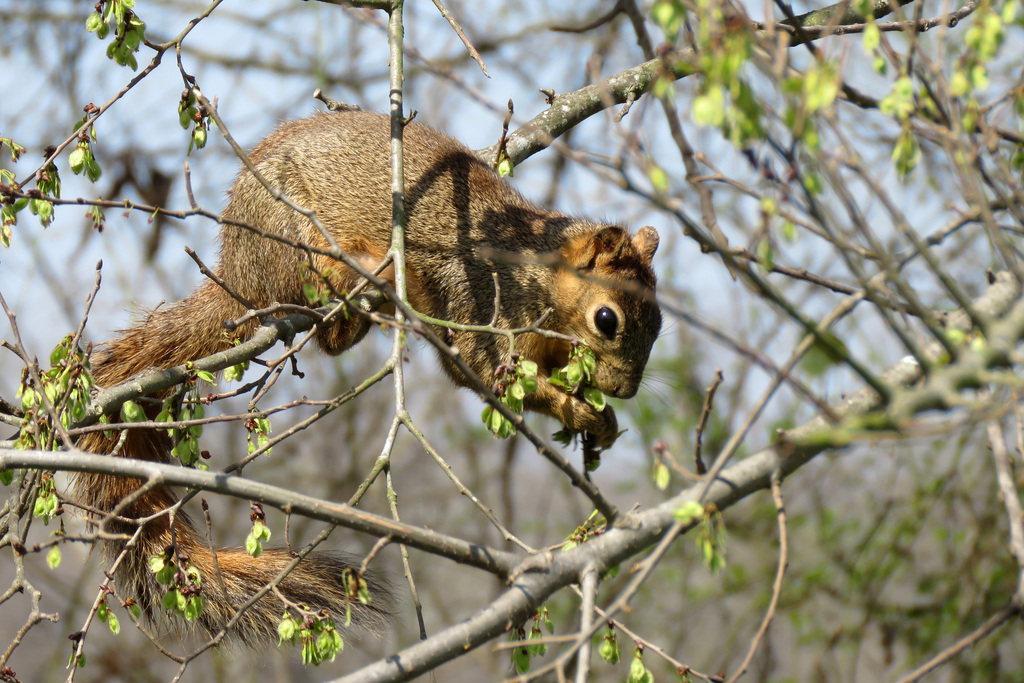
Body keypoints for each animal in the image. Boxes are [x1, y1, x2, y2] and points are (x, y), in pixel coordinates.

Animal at [75, 110, 661, 646]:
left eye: (658, 322)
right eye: (606, 320)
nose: (626, 389)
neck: (539, 276)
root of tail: (235, 269)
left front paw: (601, 420)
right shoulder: (480, 301)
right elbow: (479, 370)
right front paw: (580, 409)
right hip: (290, 237)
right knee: (323, 324)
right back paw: (363, 272)